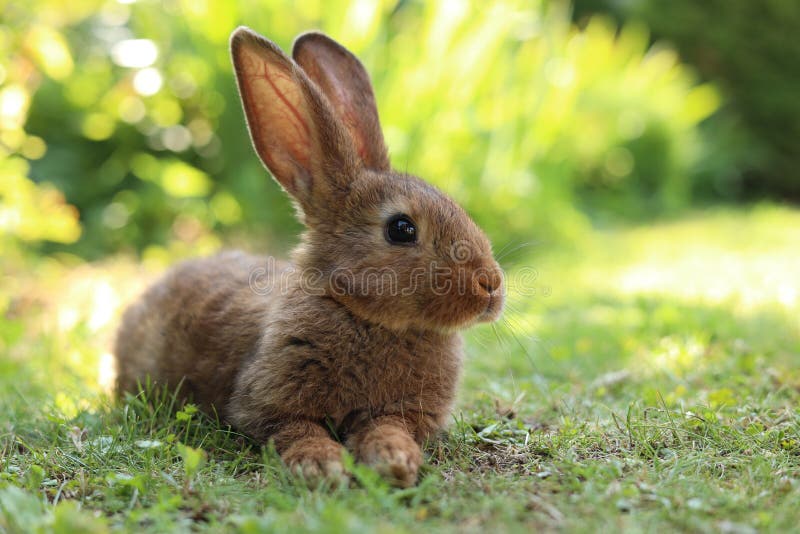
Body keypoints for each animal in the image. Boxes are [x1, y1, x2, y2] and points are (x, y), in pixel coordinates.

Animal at [114, 26, 504, 487]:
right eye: (402, 229)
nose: (491, 285)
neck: (360, 312)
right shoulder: (267, 400)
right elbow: (296, 429)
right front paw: (321, 466)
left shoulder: (407, 411)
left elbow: (389, 426)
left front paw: (395, 459)